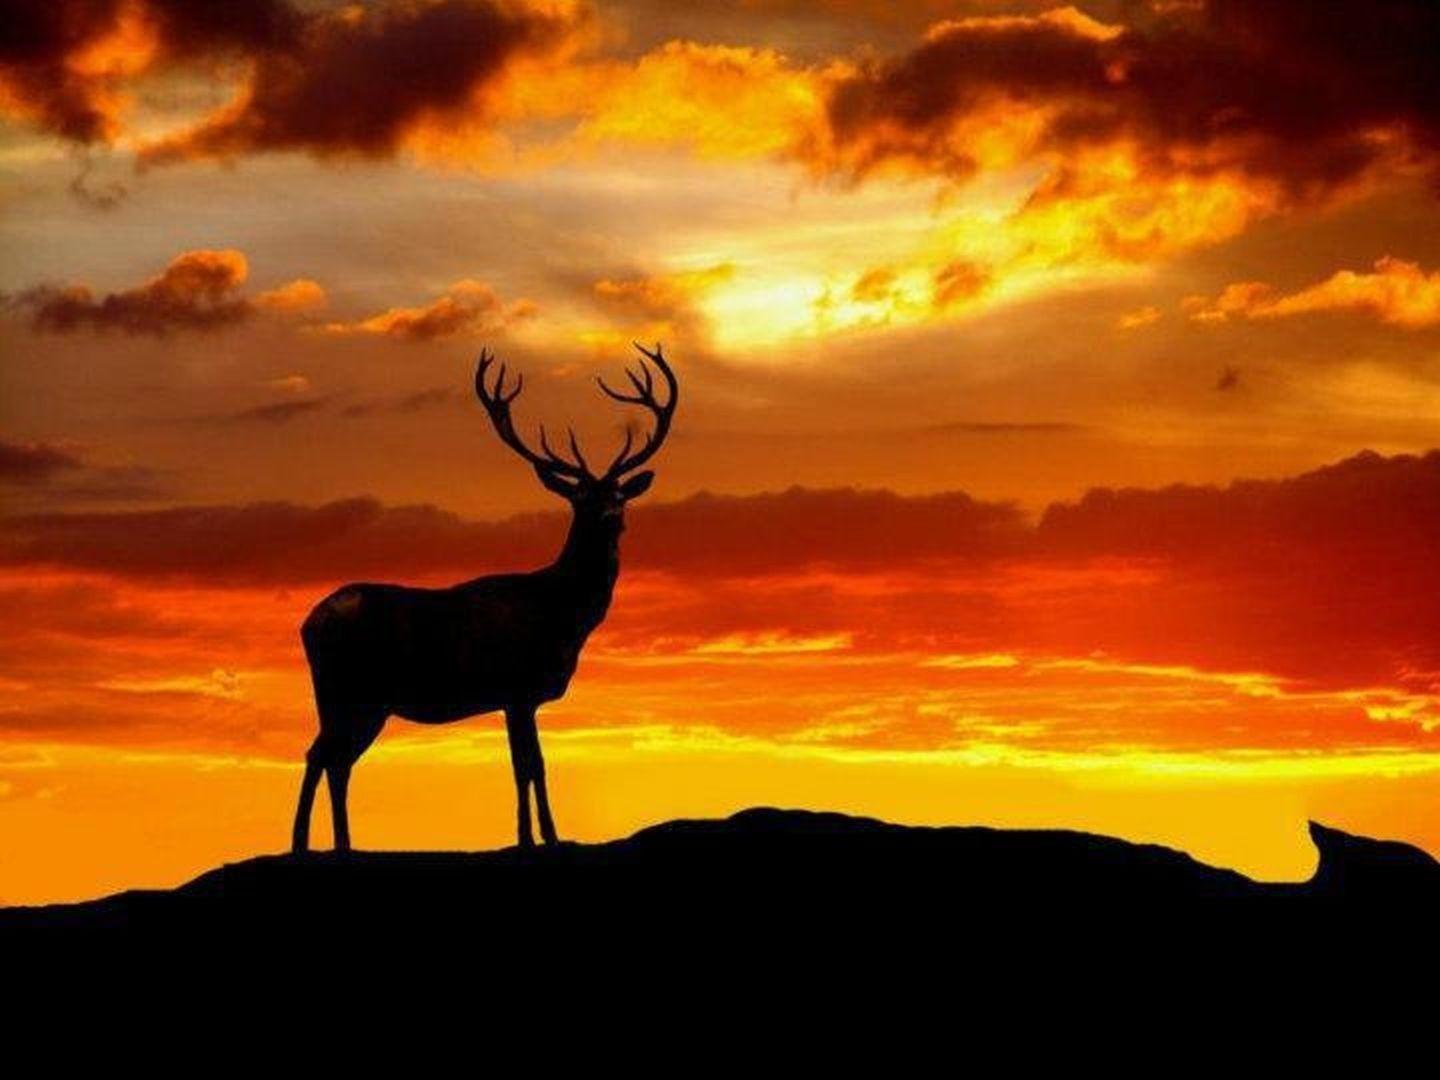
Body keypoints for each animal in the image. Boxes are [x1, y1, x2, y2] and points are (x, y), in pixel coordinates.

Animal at [291, 343, 678, 854]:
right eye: (579, 498)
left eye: (619, 494)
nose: (612, 517)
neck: (561, 616)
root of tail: (309, 622)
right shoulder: (517, 687)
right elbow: (528, 766)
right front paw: (539, 837)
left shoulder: (519, 697)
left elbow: (529, 765)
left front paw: (538, 835)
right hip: (355, 690)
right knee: (325, 755)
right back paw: (311, 843)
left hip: (350, 697)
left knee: (331, 758)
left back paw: (333, 844)